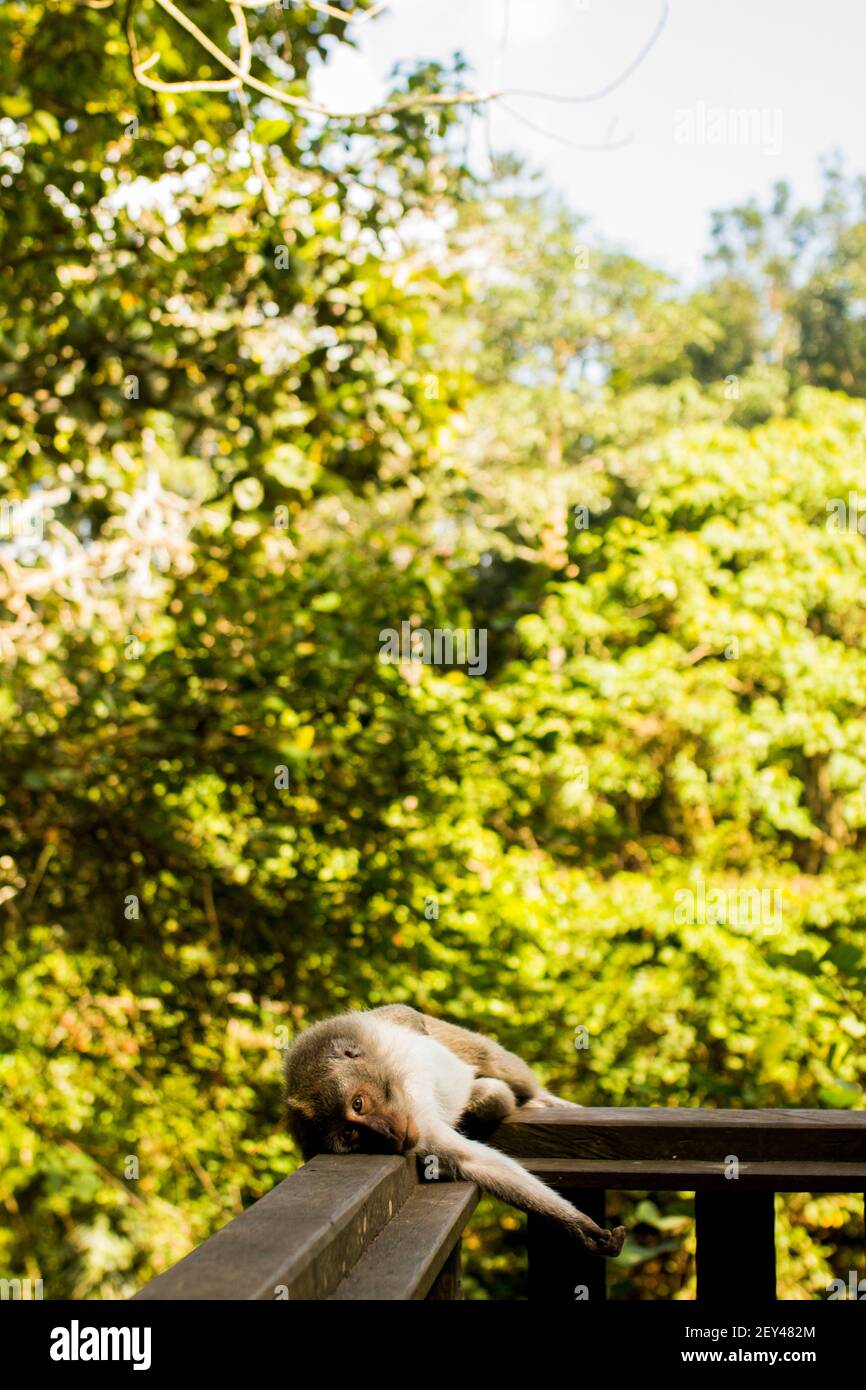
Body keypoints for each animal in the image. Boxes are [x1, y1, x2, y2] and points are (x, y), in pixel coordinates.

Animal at [283, 1003, 625, 1258]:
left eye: (358, 1104)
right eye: (350, 1136)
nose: (386, 1132)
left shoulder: (370, 1031)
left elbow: (406, 1015)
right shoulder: (419, 1133)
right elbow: (471, 1161)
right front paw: (576, 1224)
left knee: (490, 1059)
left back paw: (539, 1096)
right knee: (493, 1093)